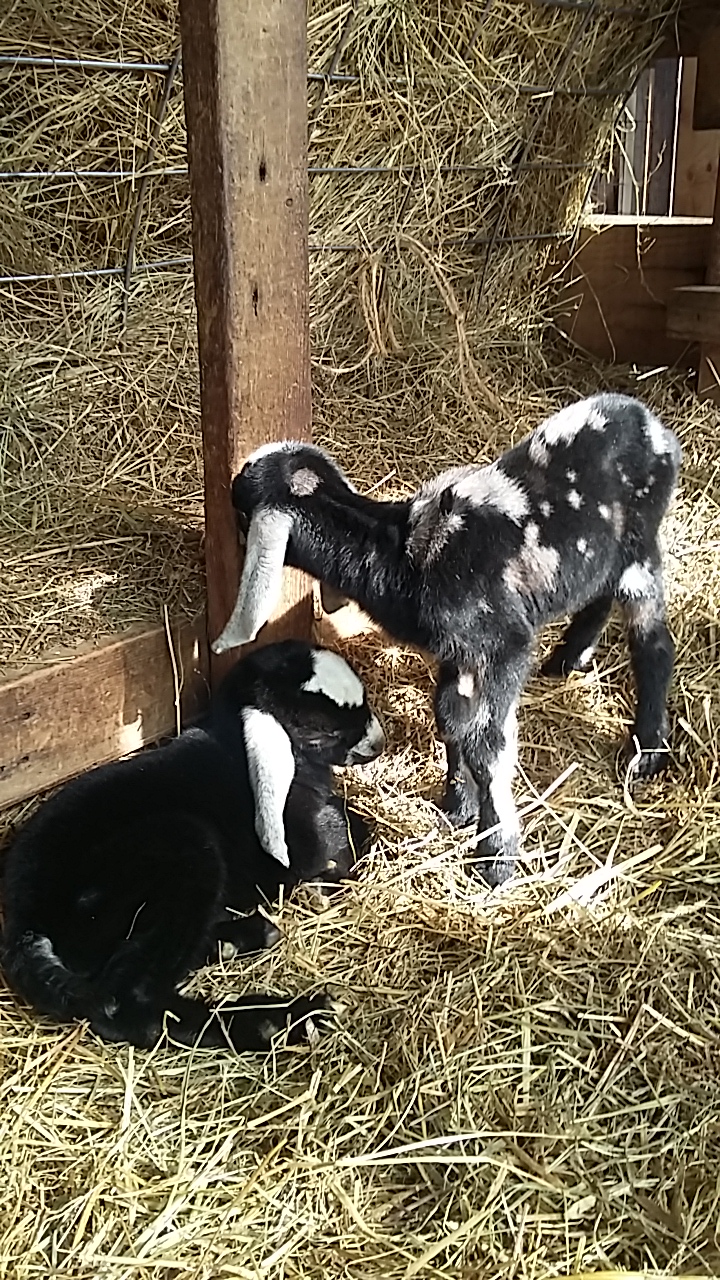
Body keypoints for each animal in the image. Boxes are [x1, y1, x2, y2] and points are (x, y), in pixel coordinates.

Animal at [1, 640, 385, 1050]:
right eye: (321, 729)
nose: (378, 743)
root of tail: (24, 921)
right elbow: (348, 837)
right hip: (178, 848)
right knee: (127, 1004)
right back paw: (279, 1020)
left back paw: (242, 939)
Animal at [212, 394, 681, 888]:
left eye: (242, 503)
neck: (403, 554)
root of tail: (650, 423)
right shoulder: (457, 655)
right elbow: (450, 719)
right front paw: (458, 807)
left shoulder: (501, 649)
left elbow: (486, 744)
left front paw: (496, 855)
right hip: (607, 557)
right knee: (598, 595)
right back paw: (570, 657)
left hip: (640, 550)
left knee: (653, 645)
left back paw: (647, 749)